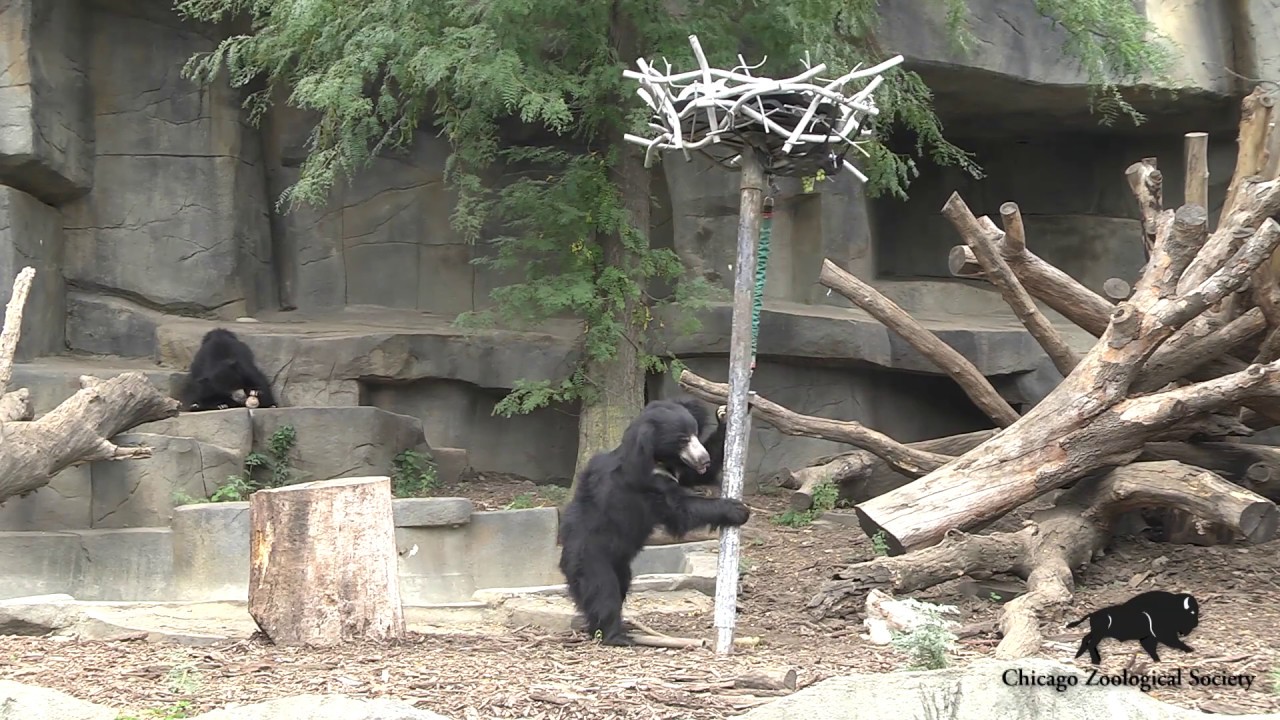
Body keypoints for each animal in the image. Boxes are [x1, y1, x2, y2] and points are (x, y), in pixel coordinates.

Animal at [558, 399, 751, 646]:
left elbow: (693, 476)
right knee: (603, 592)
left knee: (620, 586)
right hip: (591, 558)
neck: (657, 460)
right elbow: (681, 509)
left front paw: (727, 416)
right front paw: (738, 510)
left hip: (620, 564)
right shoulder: (647, 483)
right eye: (682, 439)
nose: (704, 459)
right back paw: (616, 636)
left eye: (695, 433)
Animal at [1066, 590, 1200, 665]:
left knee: (1085, 639)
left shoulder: (1150, 637)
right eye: (1192, 612)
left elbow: (1150, 647)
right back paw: (1096, 662)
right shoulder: (1162, 634)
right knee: (1091, 644)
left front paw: (1157, 660)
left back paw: (1079, 655)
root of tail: (1092, 614)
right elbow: (1174, 642)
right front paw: (1190, 649)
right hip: (1099, 634)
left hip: (1096, 633)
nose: (1196, 624)